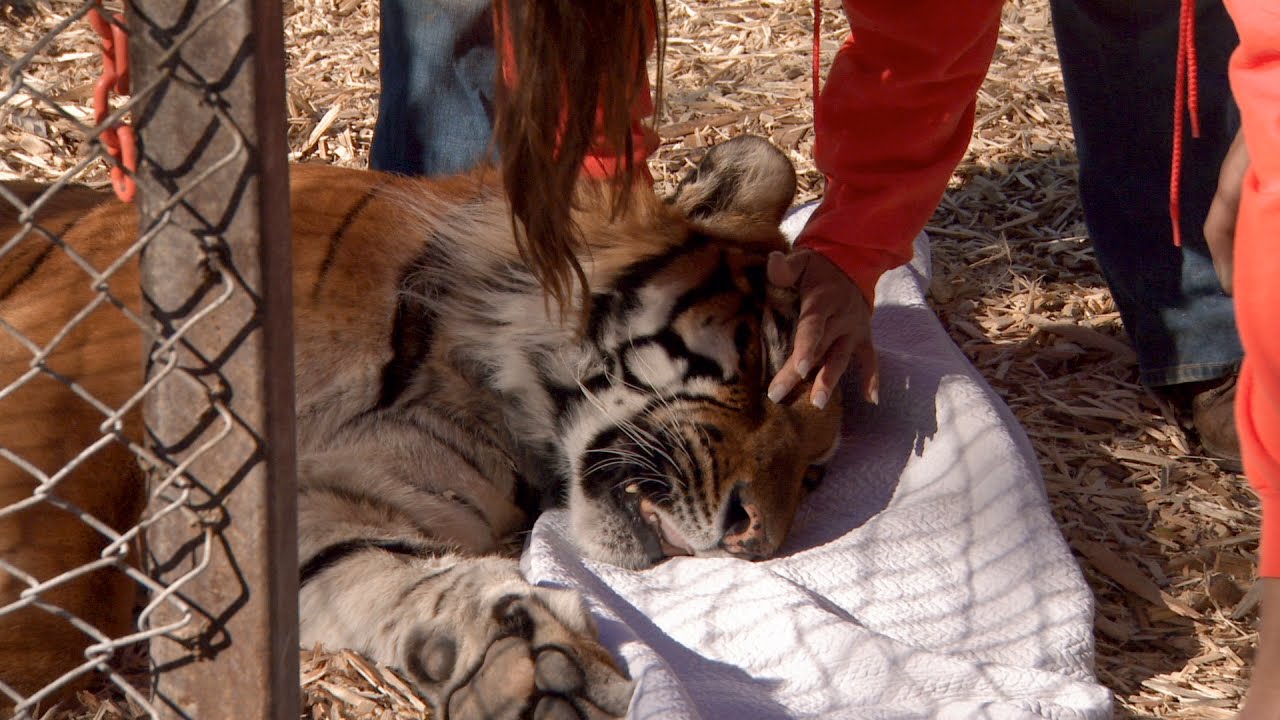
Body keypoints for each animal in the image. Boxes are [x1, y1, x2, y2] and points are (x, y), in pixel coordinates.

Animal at [0, 135, 843, 719]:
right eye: (760, 362)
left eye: (815, 474)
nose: (753, 538)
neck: (479, 380)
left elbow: (384, 569)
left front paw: (536, 669)